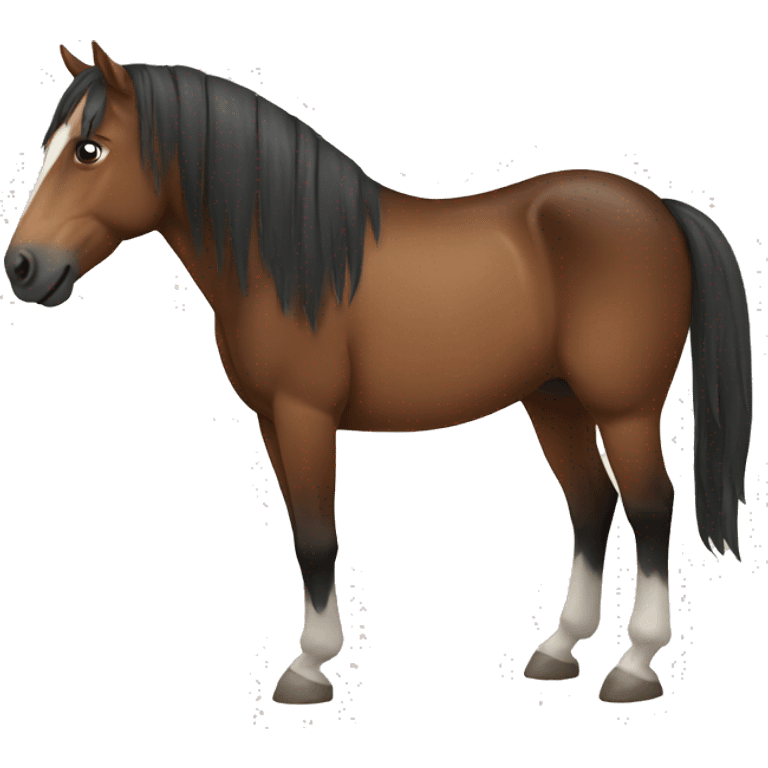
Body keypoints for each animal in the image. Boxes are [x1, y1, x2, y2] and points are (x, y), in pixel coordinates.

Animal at [4, 41, 752, 705]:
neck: (288, 258)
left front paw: (308, 670)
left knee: (650, 506)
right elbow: (302, 533)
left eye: (89, 149)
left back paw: (635, 665)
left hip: (624, 409)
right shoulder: (272, 421)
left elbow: (317, 538)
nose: (23, 268)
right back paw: (558, 650)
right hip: (554, 401)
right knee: (591, 503)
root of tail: (660, 211)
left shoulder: (305, 415)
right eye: (46, 147)